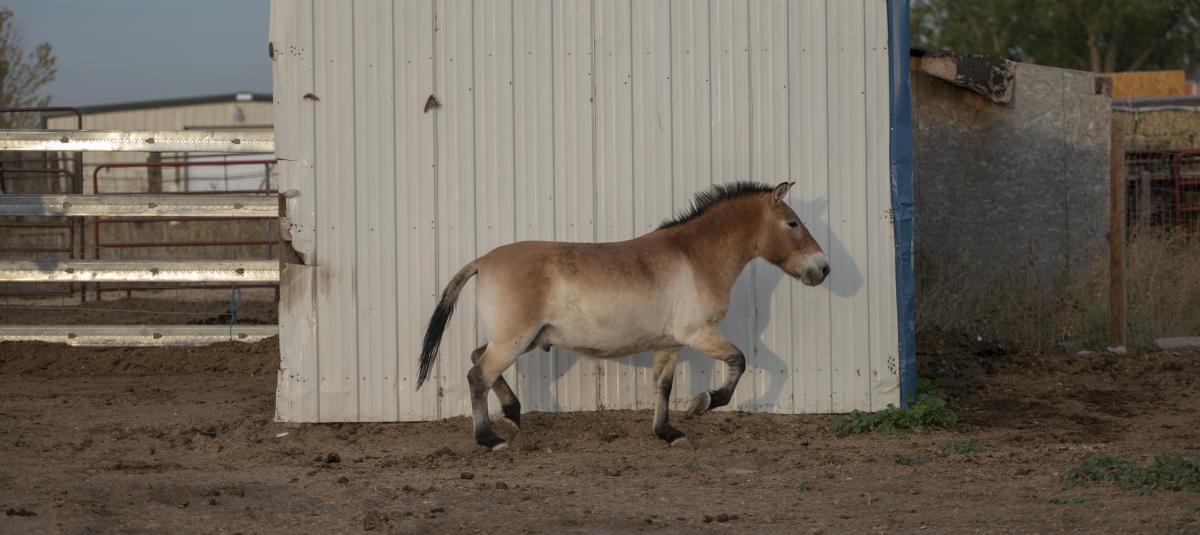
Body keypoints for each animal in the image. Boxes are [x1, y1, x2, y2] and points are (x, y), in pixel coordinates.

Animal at [416, 181, 830, 450]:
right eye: (793, 223)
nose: (823, 269)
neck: (695, 256)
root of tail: (482, 260)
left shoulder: (670, 344)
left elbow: (663, 387)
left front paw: (669, 433)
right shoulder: (697, 334)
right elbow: (740, 361)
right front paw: (703, 402)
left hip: (523, 338)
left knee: (478, 361)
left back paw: (513, 414)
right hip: (513, 340)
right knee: (478, 374)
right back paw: (490, 439)